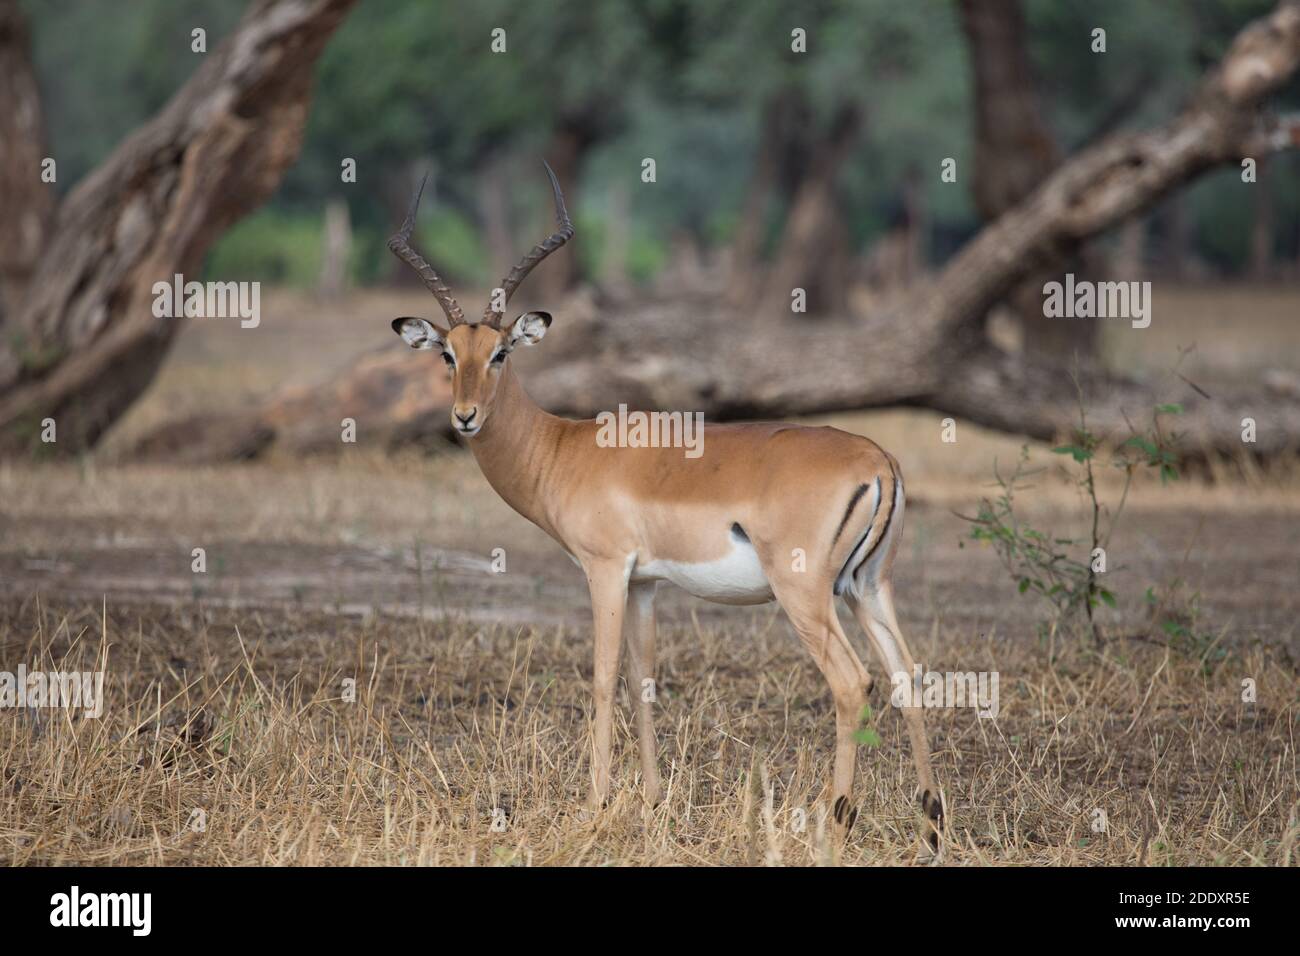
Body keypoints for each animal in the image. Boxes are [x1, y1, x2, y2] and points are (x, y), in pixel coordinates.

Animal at [388, 164, 943, 847]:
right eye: (448, 353)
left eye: (500, 352)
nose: (464, 416)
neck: (564, 448)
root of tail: (879, 461)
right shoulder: (646, 584)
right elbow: (641, 680)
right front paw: (651, 802)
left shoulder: (605, 570)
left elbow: (602, 679)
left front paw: (594, 805)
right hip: (867, 587)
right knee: (906, 675)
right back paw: (931, 821)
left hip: (805, 593)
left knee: (851, 681)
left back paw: (835, 824)